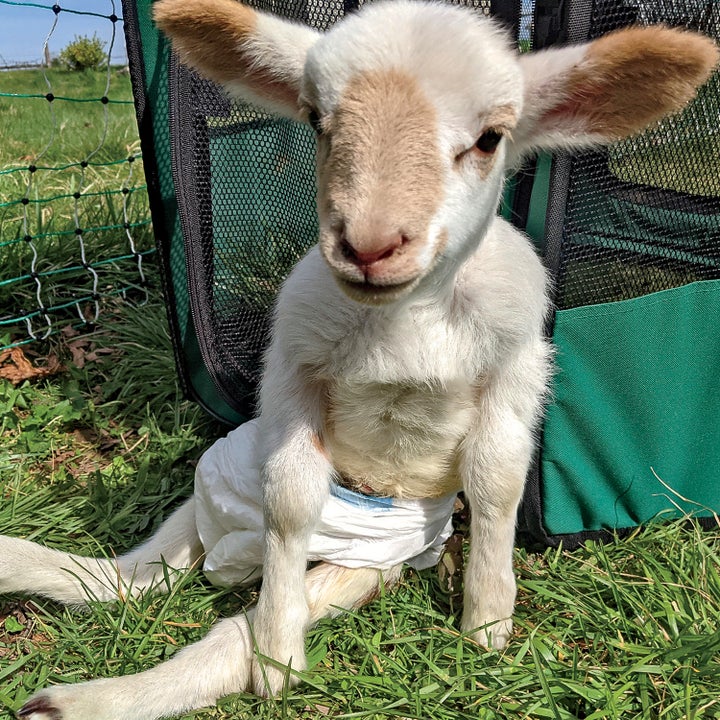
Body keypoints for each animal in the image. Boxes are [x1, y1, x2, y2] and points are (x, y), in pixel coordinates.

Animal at [3, 1, 717, 719]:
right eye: (316, 120)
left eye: (491, 138)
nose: (370, 244)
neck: (407, 320)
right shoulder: (292, 370)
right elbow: (290, 498)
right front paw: (282, 652)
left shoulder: (514, 367)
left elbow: (497, 481)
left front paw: (487, 622)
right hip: (224, 477)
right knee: (124, 579)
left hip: (374, 559)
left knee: (192, 613)